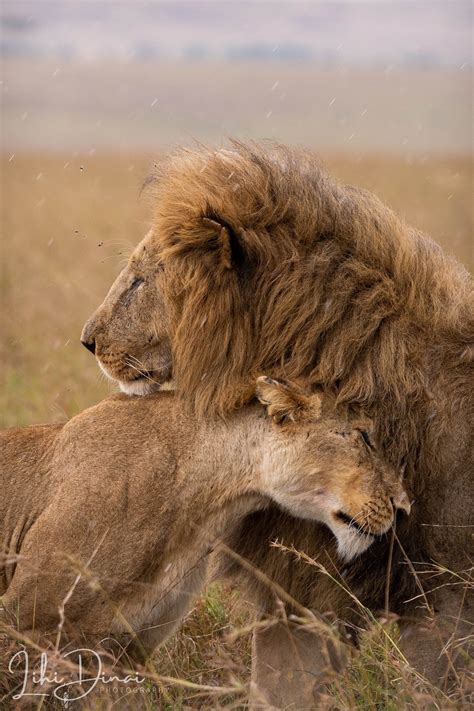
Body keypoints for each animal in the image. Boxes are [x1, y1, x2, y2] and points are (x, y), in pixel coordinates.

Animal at [81, 141, 473, 703]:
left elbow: (431, 690)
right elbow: (278, 688)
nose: (87, 340)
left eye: (138, 279)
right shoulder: (297, 592)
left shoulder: (449, 598)